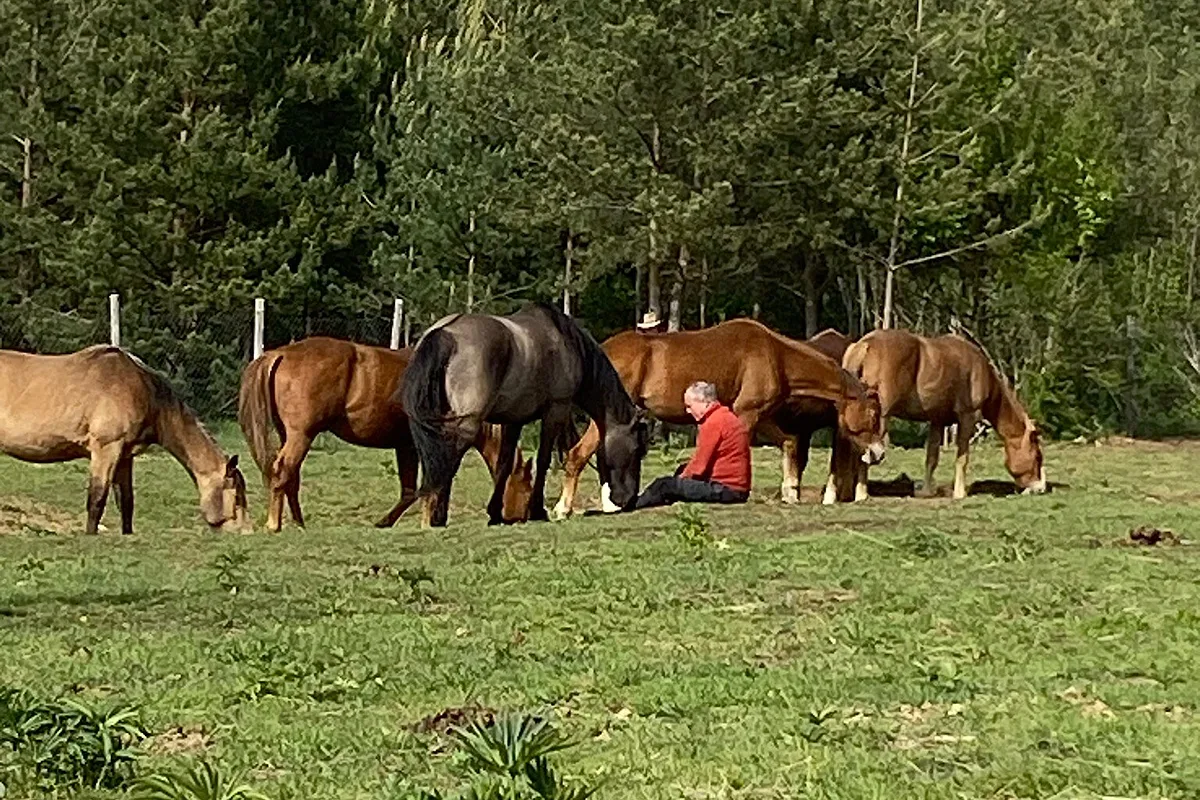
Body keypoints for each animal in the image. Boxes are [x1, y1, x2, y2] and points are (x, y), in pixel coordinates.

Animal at [0, 345, 248, 534]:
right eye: (236, 496)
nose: (246, 532)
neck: (142, 389)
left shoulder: (125, 456)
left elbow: (126, 502)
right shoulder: (106, 449)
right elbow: (97, 499)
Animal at [237, 336, 534, 532]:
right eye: (527, 486)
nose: (521, 517)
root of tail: (281, 353)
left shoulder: (408, 446)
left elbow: (413, 489)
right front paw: (428, 521)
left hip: (291, 435)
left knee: (291, 477)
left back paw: (299, 523)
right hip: (301, 435)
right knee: (282, 472)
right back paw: (274, 524)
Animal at [401, 303, 648, 527]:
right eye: (637, 449)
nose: (628, 500)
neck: (565, 341)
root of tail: (444, 332)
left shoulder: (513, 421)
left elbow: (504, 464)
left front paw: (495, 513)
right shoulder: (555, 411)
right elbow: (543, 459)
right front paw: (538, 510)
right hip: (466, 424)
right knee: (446, 461)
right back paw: (436, 516)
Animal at [551, 320, 885, 518]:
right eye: (871, 415)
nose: (878, 454)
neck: (775, 355)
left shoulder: (761, 416)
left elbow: (789, 444)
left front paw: (790, 492)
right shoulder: (747, 414)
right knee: (578, 454)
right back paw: (564, 508)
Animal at [842, 328, 1046, 500]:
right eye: (1037, 456)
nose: (1040, 488)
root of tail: (864, 345)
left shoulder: (937, 421)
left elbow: (931, 457)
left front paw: (926, 491)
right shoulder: (967, 417)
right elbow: (962, 457)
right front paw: (959, 493)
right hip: (880, 418)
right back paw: (862, 494)